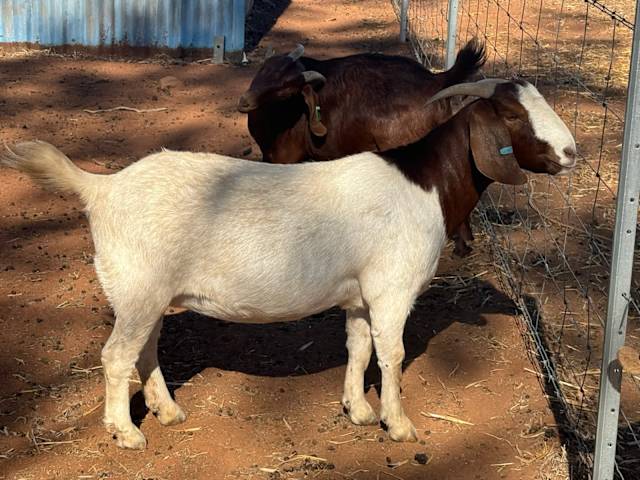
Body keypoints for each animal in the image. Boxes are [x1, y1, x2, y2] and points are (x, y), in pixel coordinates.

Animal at [2, 79, 577, 450]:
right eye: (512, 116)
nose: (571, 152)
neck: (426, 183)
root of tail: (101, 188)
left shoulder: (359, 295)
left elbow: (358, 349)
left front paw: (358, 411)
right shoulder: (392, 288)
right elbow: (391, 355)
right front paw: (398, 424)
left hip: (146, 293)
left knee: (144, 350)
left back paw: (168, 411)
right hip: (139, 287)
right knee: (117, 356)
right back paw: (127, 433)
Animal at [238, 41, 486, 256]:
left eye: (286, 89)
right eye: (264, 70)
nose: (245, 101)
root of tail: (436, 80)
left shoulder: (284, 157)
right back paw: (464, 243)